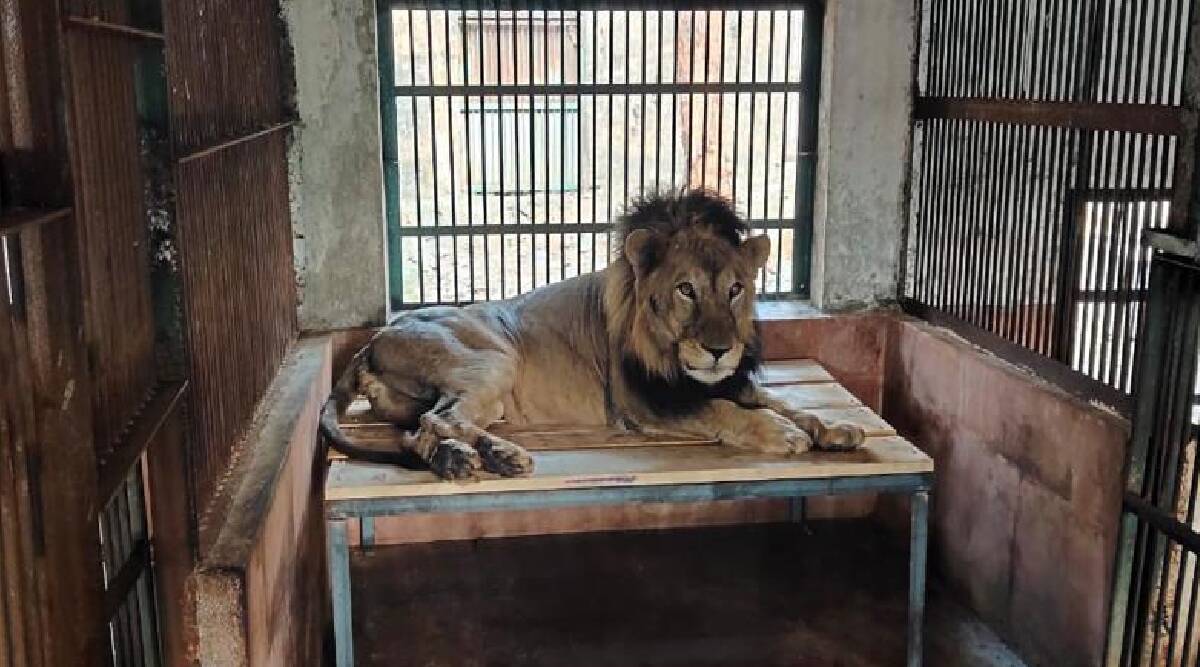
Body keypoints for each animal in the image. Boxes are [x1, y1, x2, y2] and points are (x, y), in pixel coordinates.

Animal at [320, 189, 865, 479]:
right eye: (686, 289)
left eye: (735, 290)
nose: (719, 350)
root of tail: (371, 342)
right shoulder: (644, 402)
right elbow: (725, 411)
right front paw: (783, 434)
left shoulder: (726, 381)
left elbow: (782, 401)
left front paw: (833, 428)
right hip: (493, 360)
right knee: (441, 418)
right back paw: (501, 456)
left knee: (421, 430)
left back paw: (461, 459)